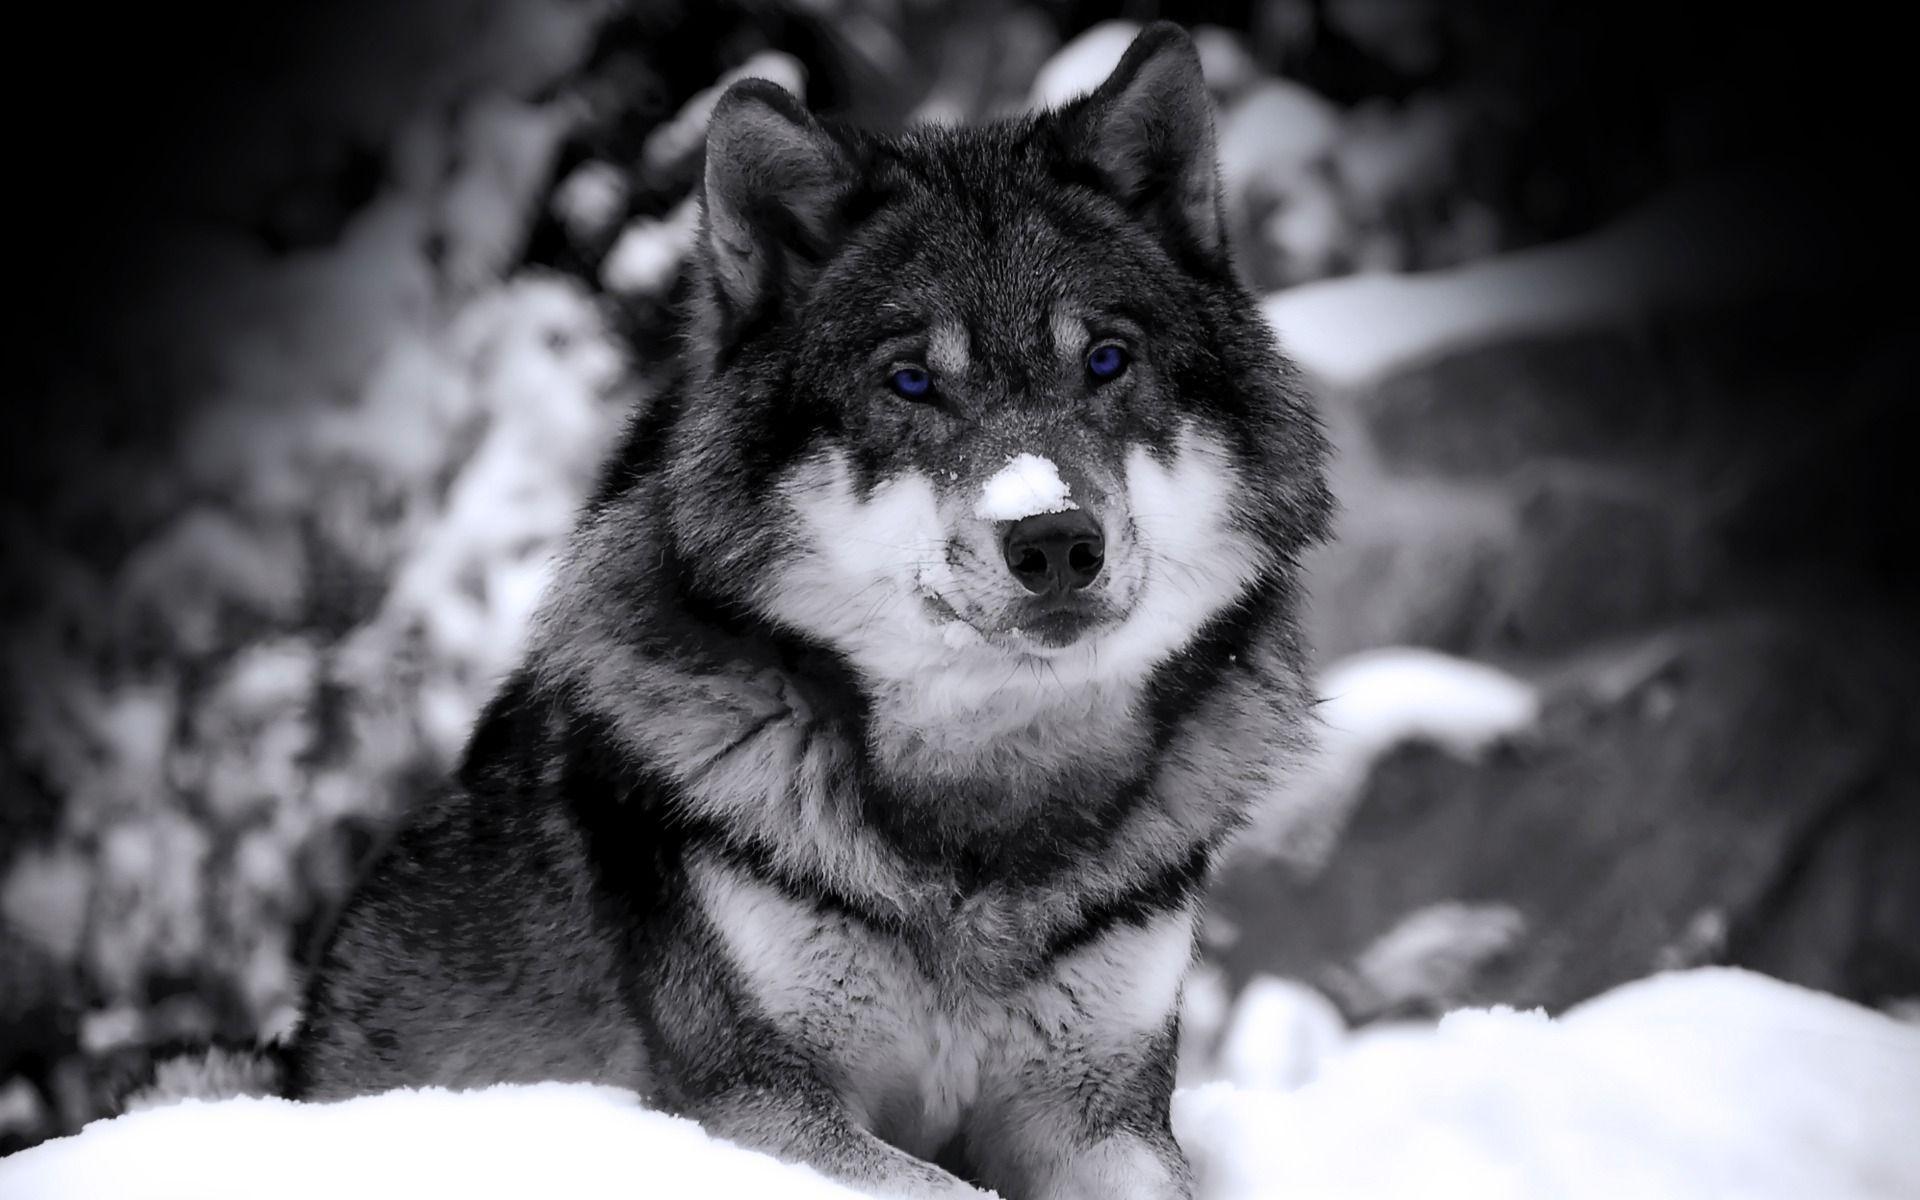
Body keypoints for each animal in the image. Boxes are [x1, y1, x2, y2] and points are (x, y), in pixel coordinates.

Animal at [249, 22, 1330, 1199]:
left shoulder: (1104, 1114)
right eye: (911, 383)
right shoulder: (754, 1103)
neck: (982, 818)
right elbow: (945, 1188)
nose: (1052, 540)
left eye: (1106, 361)